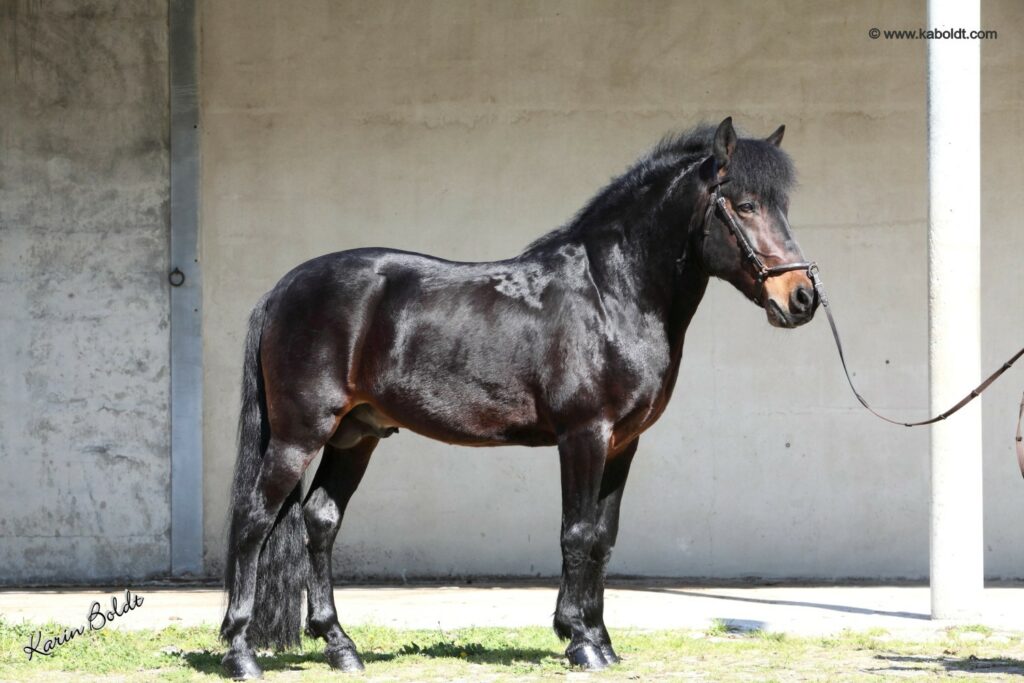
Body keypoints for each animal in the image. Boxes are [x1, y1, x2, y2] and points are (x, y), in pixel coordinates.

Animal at [219, 117, 819, 678]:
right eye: (745, 205)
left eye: (783, 208)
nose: (802, 298)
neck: (611, 295)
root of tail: (283, 289)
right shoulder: (584, 435)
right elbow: (577, 533)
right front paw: (579, 641)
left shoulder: (623, 444)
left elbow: (603, 538)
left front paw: (601, 640)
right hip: (299, 435)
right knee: (254, 519)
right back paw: (240, 651)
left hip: (355, 435)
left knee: (320, 520)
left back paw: (341, 647)